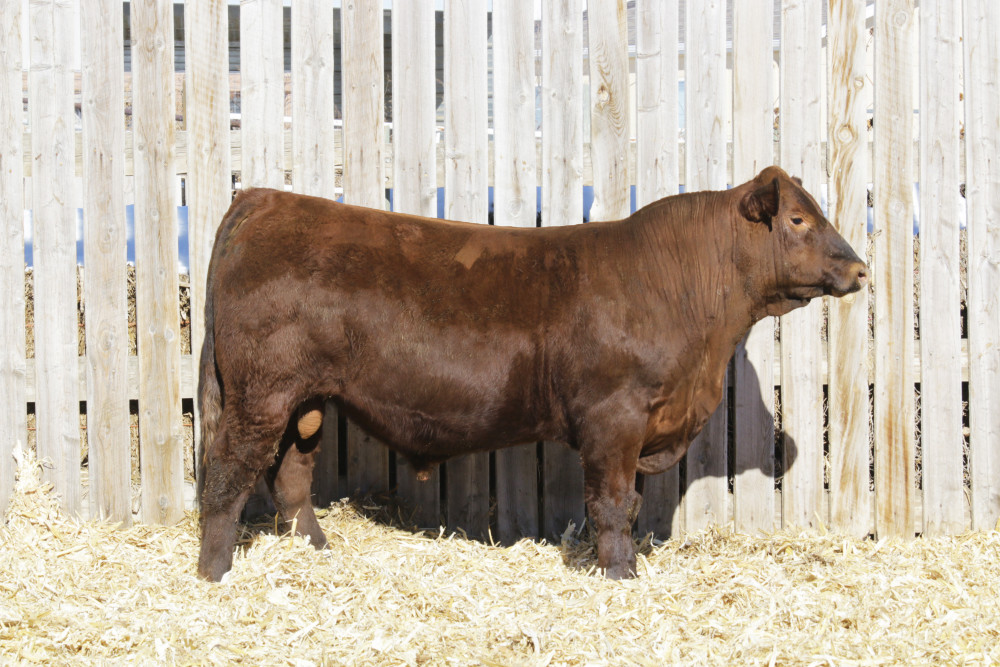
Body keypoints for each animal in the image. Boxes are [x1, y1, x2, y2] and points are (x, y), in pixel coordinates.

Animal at [196, 166, 868, 582]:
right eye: (799, 221)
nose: (861, 269)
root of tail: (261, 199)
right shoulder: (613, 418)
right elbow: (611, 503)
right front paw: (619, 575)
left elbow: (629, 504)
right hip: (259, 393)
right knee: (227, 472)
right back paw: (215, 571)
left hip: (303, 399)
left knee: (290, 473)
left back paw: (314, 549)